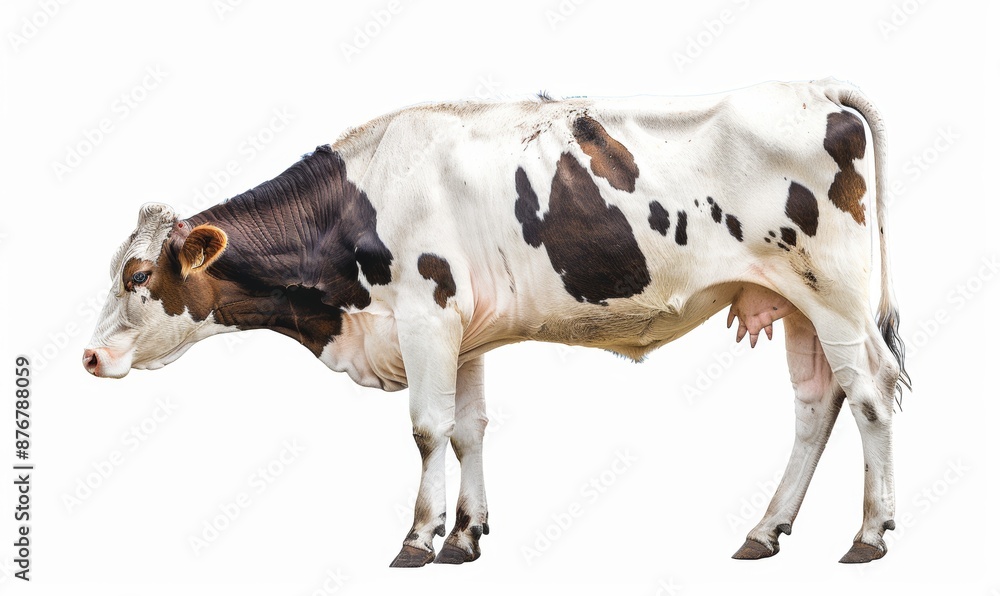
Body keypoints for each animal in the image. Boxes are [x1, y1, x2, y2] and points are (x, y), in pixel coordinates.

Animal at [83, 78, 909, 566]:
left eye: (136, 275)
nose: (89, 358)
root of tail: (817, 89)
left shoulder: (425, 317)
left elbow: (426, 428)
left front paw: (418, 539)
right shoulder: (465, 332)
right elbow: (468, 428)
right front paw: (466, 534)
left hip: (834, 293)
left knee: (869, 395)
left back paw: (869, 535)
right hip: (794, 301)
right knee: (815, 404)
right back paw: (765, 531)